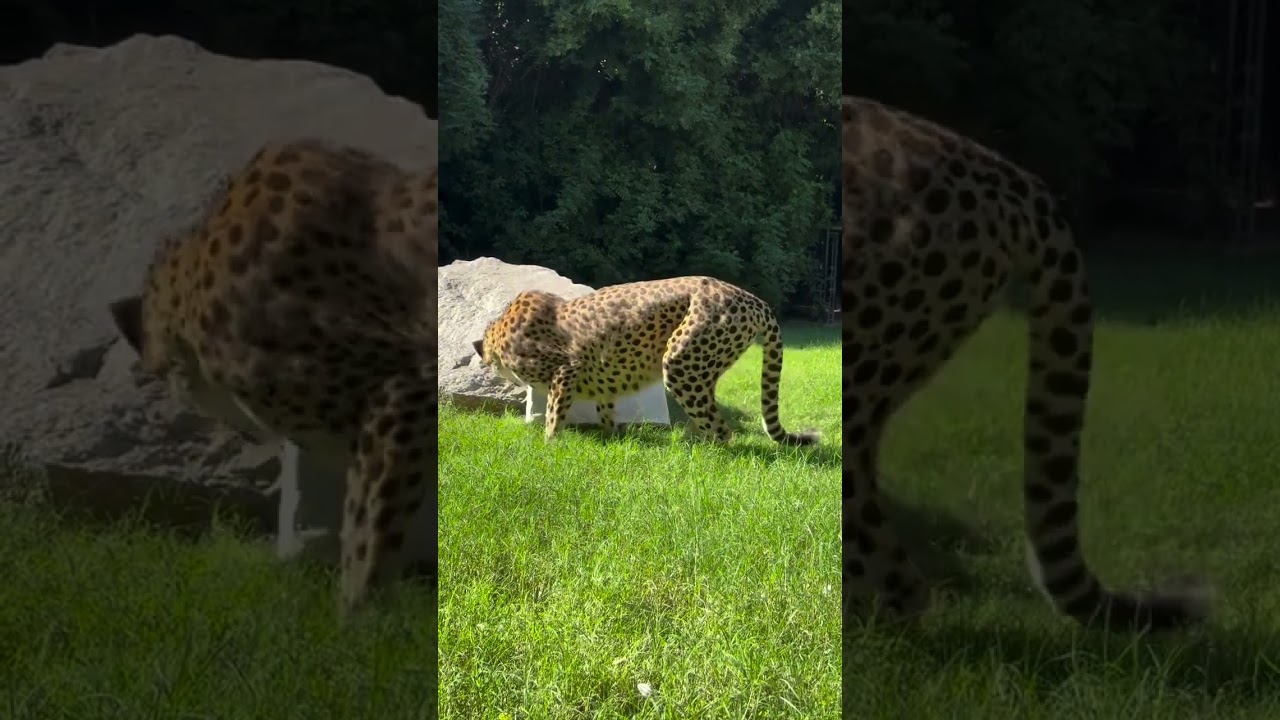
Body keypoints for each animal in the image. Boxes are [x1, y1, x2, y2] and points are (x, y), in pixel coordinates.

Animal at [473, 276, 819, 446]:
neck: (500, 330)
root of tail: (753, 299)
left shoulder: (565, 369)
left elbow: (554, 414)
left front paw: (549, 444)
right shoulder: (602, 380)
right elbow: (605, 409)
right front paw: (612, 438)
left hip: (680, 362)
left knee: (722, 431)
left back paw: (700, 456)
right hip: (701, 367)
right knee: (710, 416)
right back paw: (691, 441)